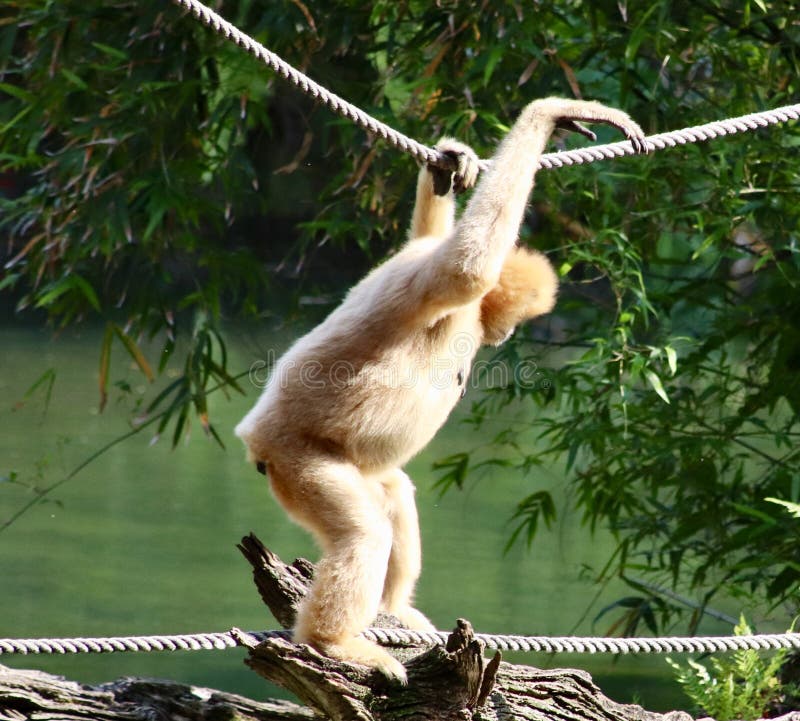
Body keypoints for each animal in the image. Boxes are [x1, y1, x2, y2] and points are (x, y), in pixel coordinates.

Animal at [235, 98, 647, 682]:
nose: (509, 334)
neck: (469, 319)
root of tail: (257, 438)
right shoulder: (428, 283)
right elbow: (464, 269)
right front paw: (553, 116)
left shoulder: (415, 257)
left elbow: (428, 239)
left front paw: (449, 165)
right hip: (296, 460)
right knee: (365, 532)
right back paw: (332, 642)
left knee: (392, 490)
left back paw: (392, 610)